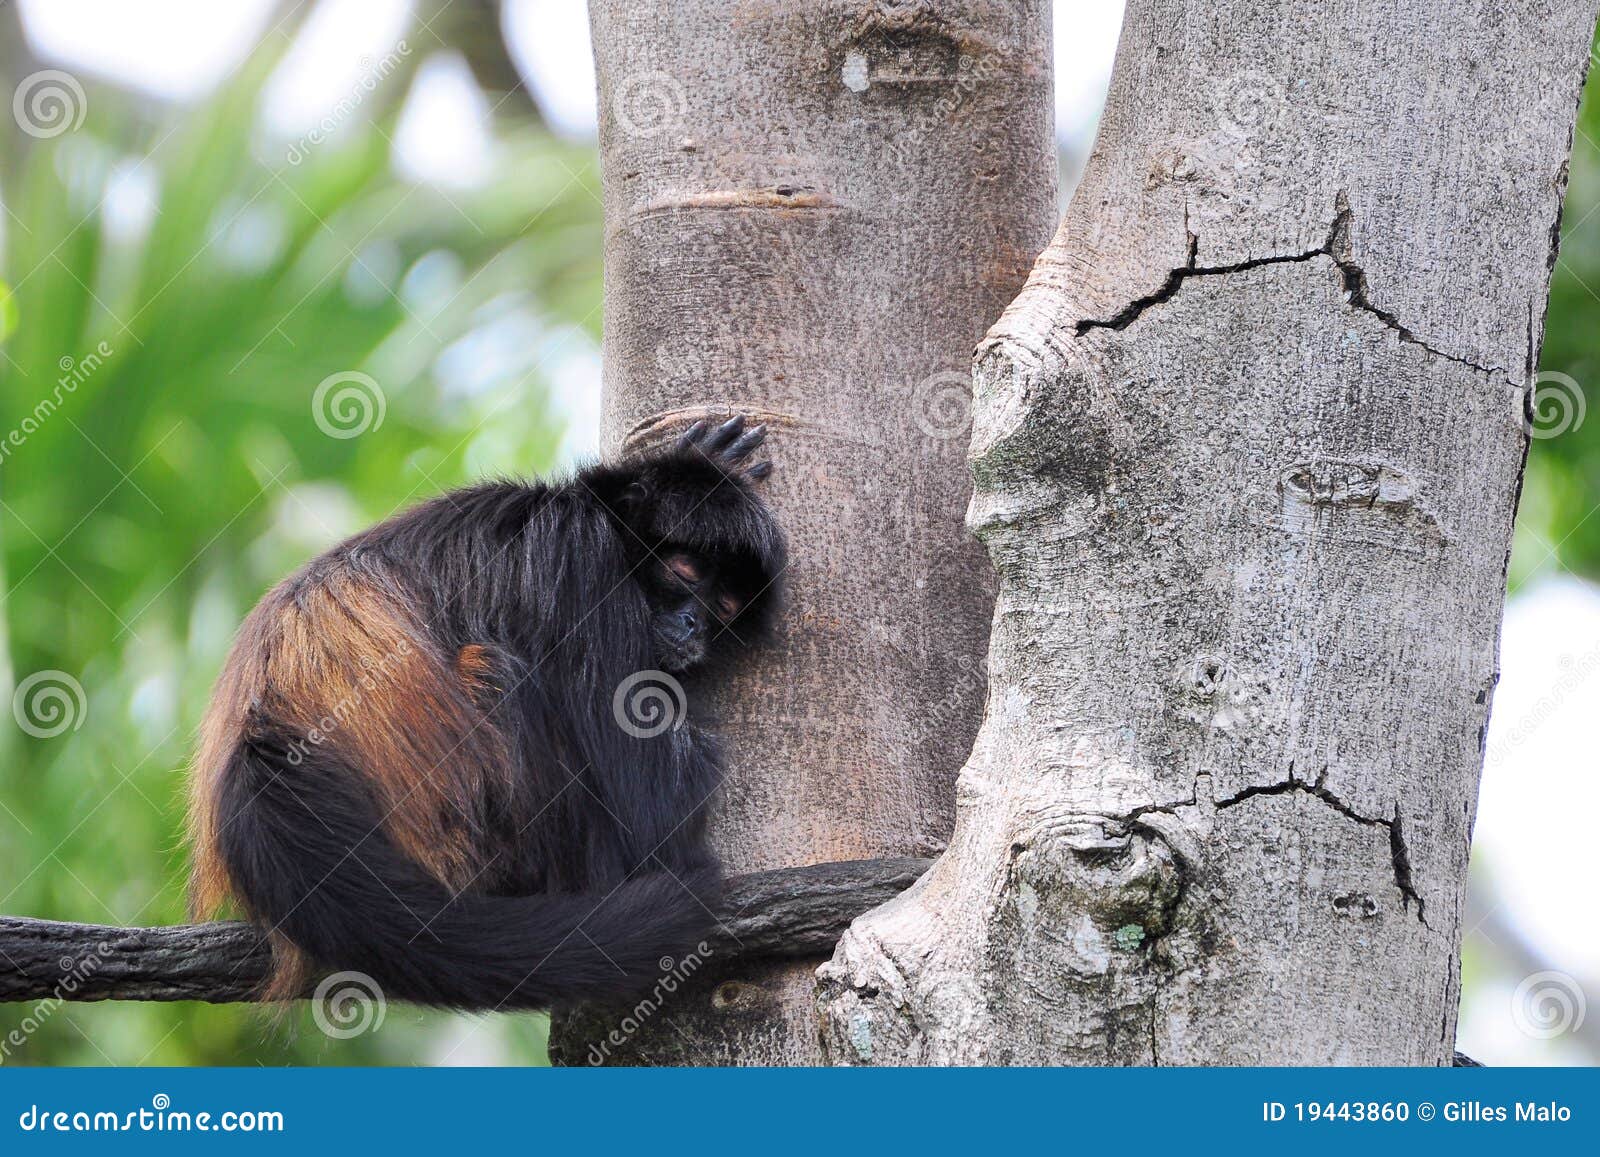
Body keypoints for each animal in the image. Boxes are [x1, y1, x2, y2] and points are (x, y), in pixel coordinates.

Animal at [186, 416, 784, 1011]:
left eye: (724, 607)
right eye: (684, 572)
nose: (692, 625)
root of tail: (260, 747)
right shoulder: (579, 560)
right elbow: (655, 823)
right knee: (503, 671)